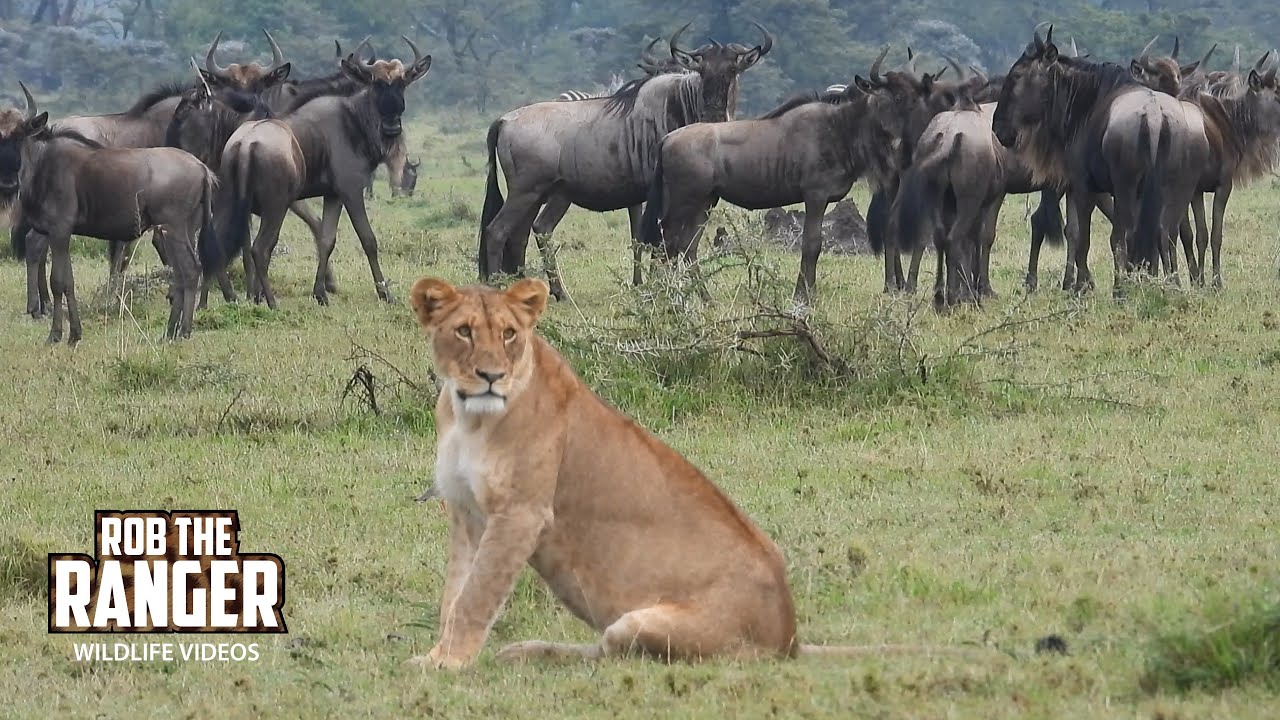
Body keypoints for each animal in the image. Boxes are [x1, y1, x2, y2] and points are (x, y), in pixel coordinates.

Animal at [405, 276, 986, 669]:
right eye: (463, 332)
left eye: (508, 335)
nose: (490, 376)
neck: (468, 417)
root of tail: (790, 637)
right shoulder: (468, 513)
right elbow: (455, 592)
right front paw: (441, 653)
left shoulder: (521, 514)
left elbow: (476, 597)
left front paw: (445, 664)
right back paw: (523, 650)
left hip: (643, 622)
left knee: (614, 655)